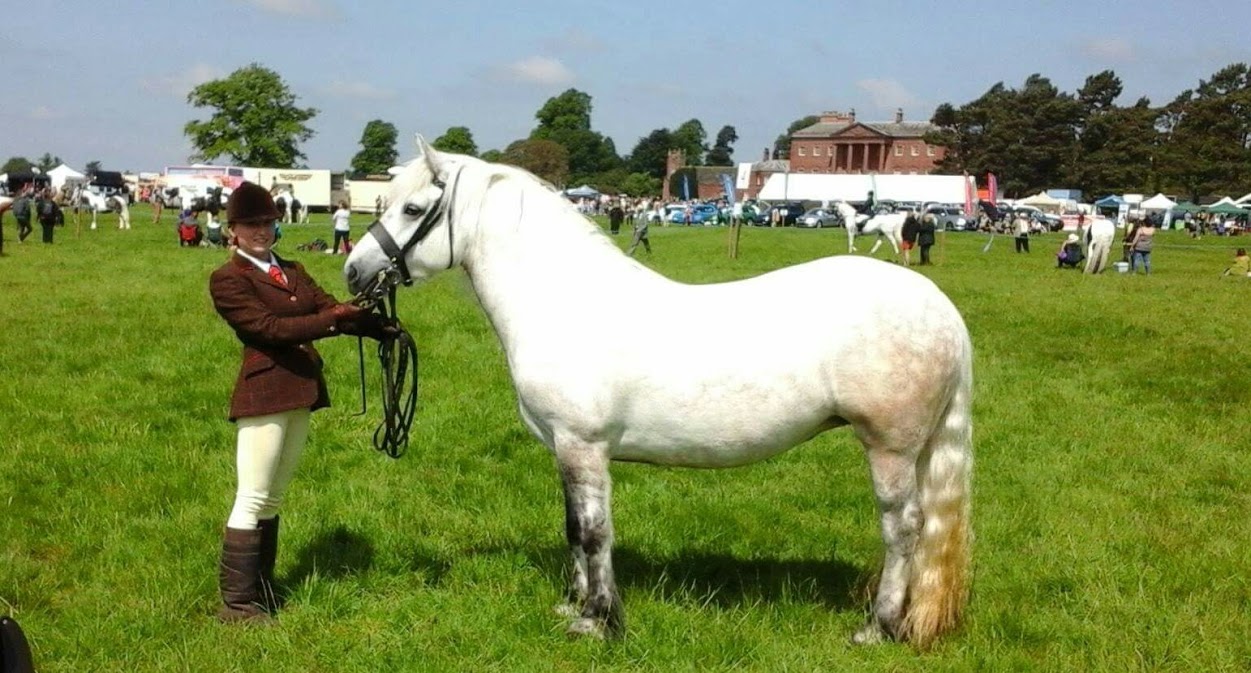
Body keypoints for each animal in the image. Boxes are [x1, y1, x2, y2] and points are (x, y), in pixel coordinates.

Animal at [344, 137, 975, 647]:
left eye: (413, 208)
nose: (354, 271)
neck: (564, 300)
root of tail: (941, 309)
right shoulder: (564, 448)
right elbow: (573, 528)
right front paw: (573, 606)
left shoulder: (583, 445)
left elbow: (594, 532)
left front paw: (598, 622)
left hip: (890, 449)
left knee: (903, 529)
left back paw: (878, 628)